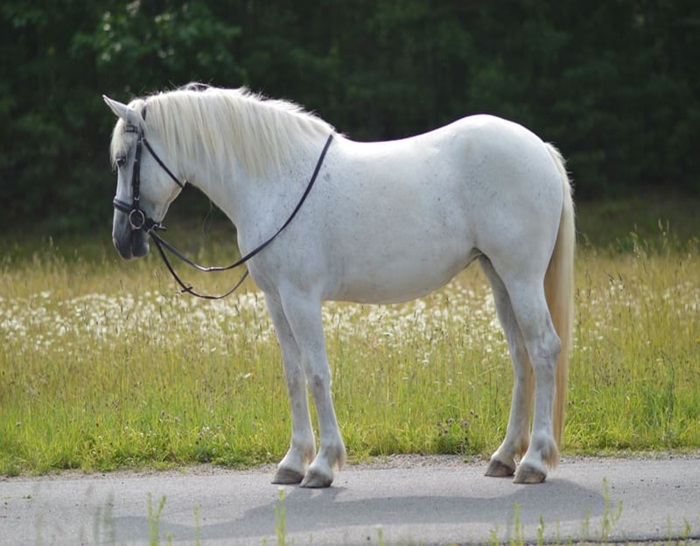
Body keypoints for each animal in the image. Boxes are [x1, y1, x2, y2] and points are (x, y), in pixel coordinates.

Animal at [104, 84, 574, 488]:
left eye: (124, 159)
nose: (124, 240)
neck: (274, 180)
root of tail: (540, 150)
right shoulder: (276, 299)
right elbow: (293, 374)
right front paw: (293, 462)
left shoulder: (301, 298)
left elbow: (316, 373)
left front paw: (322, 465)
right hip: (499, 276)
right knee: (521, 357)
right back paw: (505, 456)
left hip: (521, 276)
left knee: (543, 349)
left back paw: (533, 462)